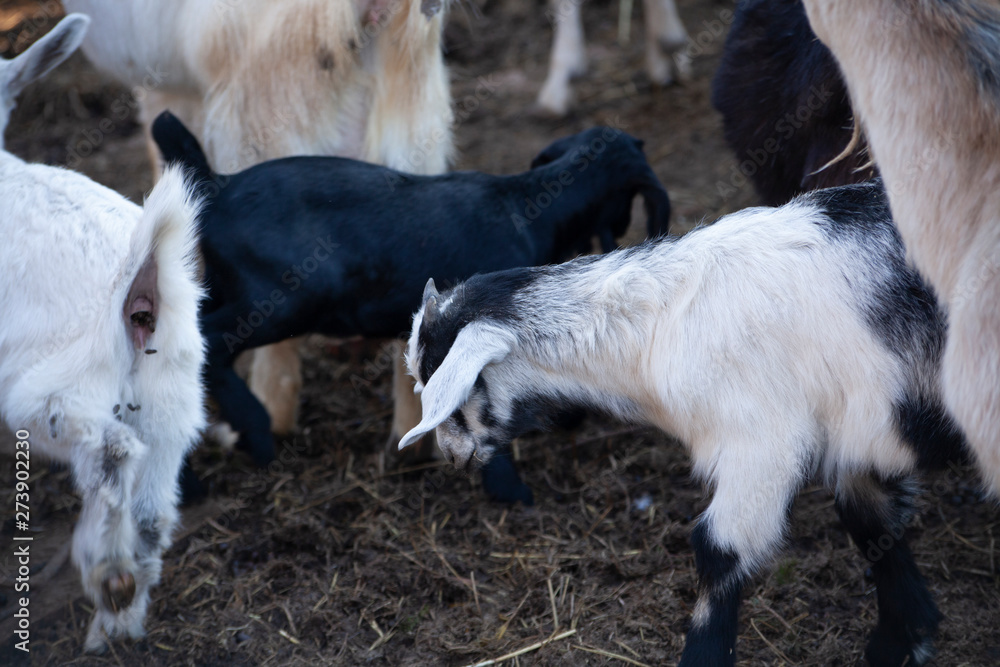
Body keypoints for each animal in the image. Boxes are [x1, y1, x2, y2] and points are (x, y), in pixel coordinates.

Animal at [0, 16, 205, 654]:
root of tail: (139, 278)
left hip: (57, 392)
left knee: (112, 452)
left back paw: (107, 578)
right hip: (171, 398)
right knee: (153, 511)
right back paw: (118, 623)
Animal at [152, 111, 669, 504]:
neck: (531, 205)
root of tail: (217, 184)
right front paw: (511, 491)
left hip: (232, 291)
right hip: (283, 299)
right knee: (205, 345)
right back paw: (251, 437)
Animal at [401, 179, 967, 666]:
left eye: (453, 388)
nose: (451, 455)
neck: (657, 323)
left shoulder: (761, 443)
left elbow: (717, 549)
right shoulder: (863, 432)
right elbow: (872, 524)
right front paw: (904, 640)